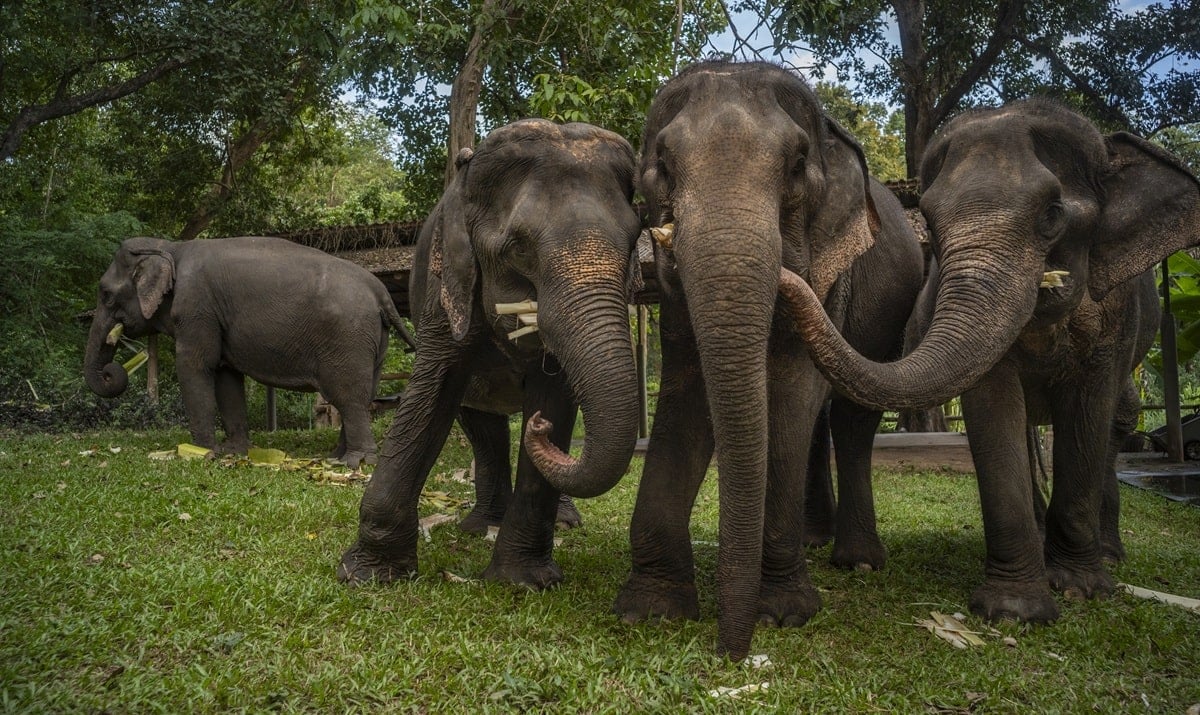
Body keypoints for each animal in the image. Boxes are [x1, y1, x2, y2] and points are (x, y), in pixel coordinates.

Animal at [84, 235, 413, 467]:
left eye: (106, 294)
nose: (111, 371)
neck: (168, 246)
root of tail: (381, 292)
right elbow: (225, 377)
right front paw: (234, 451)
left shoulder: (196, 308)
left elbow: (194, 367)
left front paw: (203, 452)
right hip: (373, 341)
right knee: (364, 394)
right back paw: (336, 457)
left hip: (347, 338)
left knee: (349, 397)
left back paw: (354, 463)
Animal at [337, 118, 643, 588]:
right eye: (518, 248)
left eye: (633, 243)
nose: (536, 426)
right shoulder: (445, 292)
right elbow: (431, 397)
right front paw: (364, 577)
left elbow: (555, 398)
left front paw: (523, 582)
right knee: (483, 428)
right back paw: (478, 526)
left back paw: (564, 521)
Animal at [611, 60, 924, 660]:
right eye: (663, 165)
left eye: (798, 165)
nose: (730, 653)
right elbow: (688, 393)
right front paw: (653, 610)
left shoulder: (829, 279)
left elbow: (791, 393)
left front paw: (783, 613)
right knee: (821, 424)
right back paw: (815, 538)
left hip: (887, 321)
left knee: (851, 419)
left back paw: (857, 561)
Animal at [781, 99, 1200, 624]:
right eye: (931, 223)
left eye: (1053, 213)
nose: (785, 276)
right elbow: (994, 407)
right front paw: (1015, 611)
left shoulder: (1118, 315)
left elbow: (1089, 411)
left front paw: (1079, 590)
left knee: (1116, 421)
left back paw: (1107, 554)